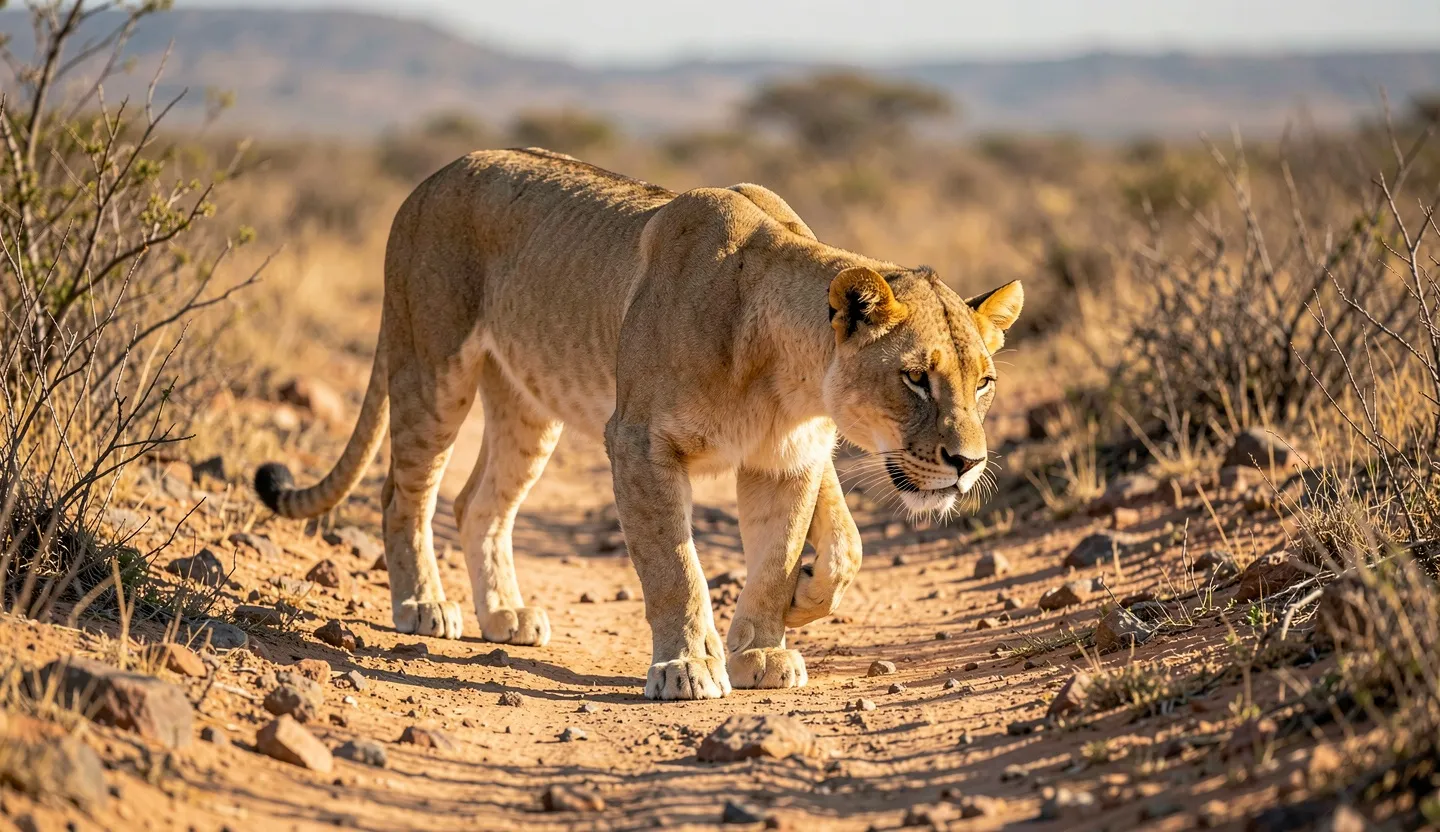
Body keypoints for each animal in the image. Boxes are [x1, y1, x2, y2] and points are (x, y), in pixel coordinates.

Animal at [254, 148, 1023, 700]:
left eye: (983, 383)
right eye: (915, 377)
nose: (968, 463)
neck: (790, 378)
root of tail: (428, 180)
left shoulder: (788, 461)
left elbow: (786, 558)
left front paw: (762, 647)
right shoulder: (637, 444)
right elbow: (674, 567)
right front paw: (689, 667)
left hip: (527, 404)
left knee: (479, 504)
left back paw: (505, 616)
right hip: (431, 366)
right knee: (404, 493)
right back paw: (423, 604)